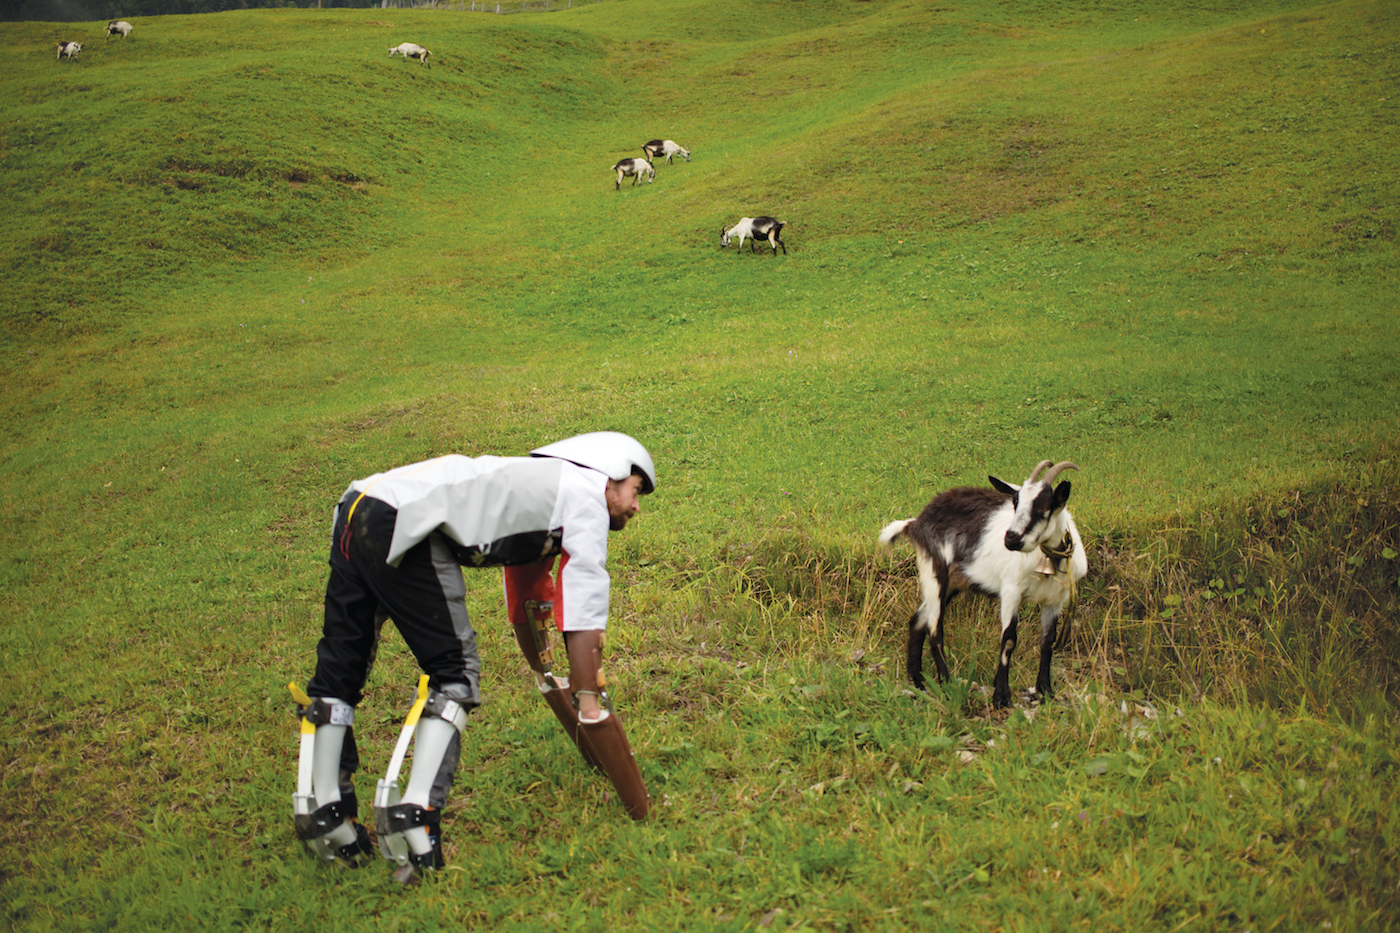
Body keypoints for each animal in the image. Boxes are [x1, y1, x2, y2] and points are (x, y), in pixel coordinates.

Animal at [879, 460, 1087, 709]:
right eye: (1015, 503)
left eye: (1044, 508)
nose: (1011, 538)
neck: (1047, 561)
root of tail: (915, 523)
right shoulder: (1011, 591)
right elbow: (1009, 640)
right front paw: (1001, 696)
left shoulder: (1055, 600)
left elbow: (1047, 643)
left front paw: (1046, 692)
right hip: (934, 572)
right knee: (935, 631)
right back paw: (947, 685)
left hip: (952, 582)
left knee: (918, 622)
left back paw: (919, 681)